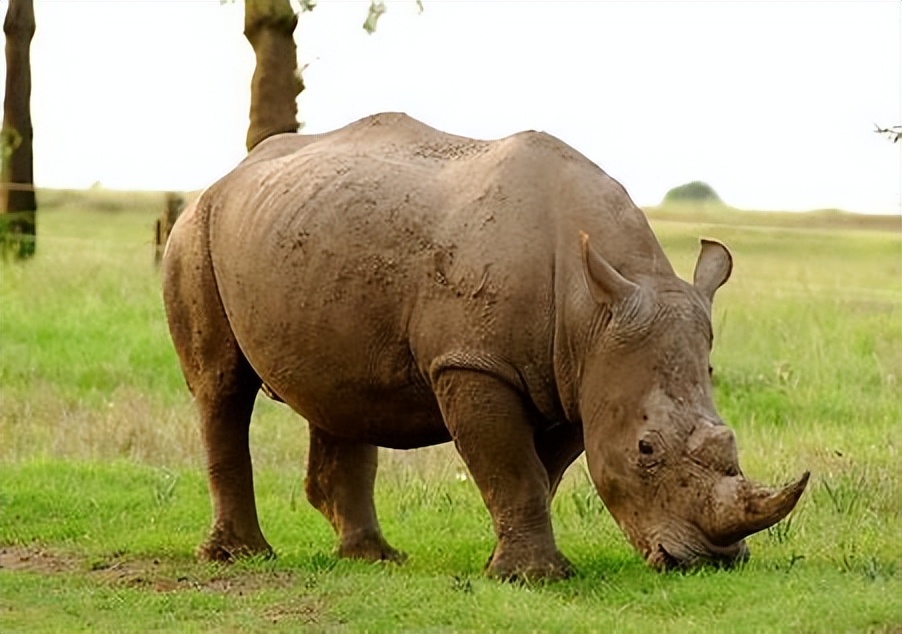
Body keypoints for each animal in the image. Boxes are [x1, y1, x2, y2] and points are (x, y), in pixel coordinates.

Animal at [162, 112, 808, 579]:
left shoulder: (578, 376)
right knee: (221, 387)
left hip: (310, 236)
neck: (592, 309)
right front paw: (536, 577)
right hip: (196, 231)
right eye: (646, 449)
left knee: (338, 391)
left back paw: (373, 558)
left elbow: (539, 472)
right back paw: (240, 558)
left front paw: (511, 567)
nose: (710, 562)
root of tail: (229, 175)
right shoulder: (474, 363)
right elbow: (512, 467)